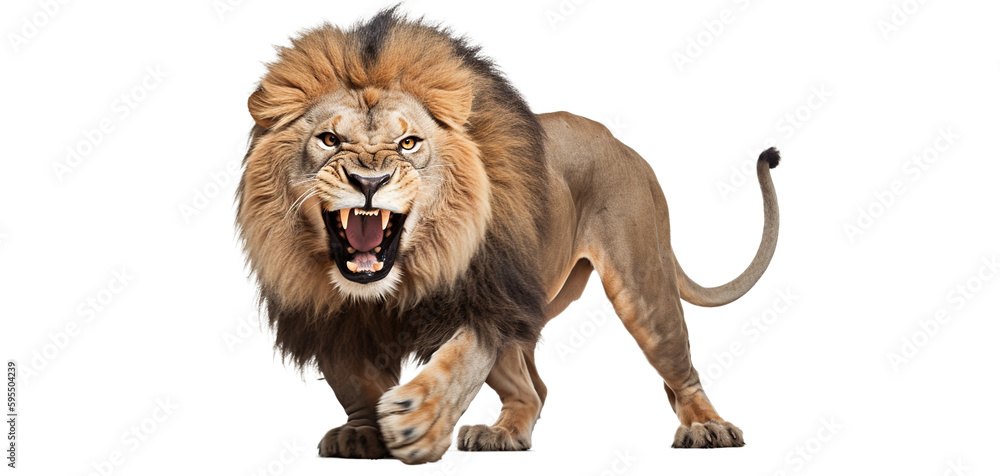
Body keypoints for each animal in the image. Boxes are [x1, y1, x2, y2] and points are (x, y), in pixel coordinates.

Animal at [236, 8, 780, 465]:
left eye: (409, 143)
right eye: (330, 140)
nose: (370, 182)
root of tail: (623, 146)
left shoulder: (489, 293)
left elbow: (461, 359)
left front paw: (417, 419)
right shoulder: (328, 316)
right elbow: (355, 383)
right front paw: (365, 432)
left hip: (641, 288)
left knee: (678, 369)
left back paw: (708, 427)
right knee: (534, 388)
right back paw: (503, 433)